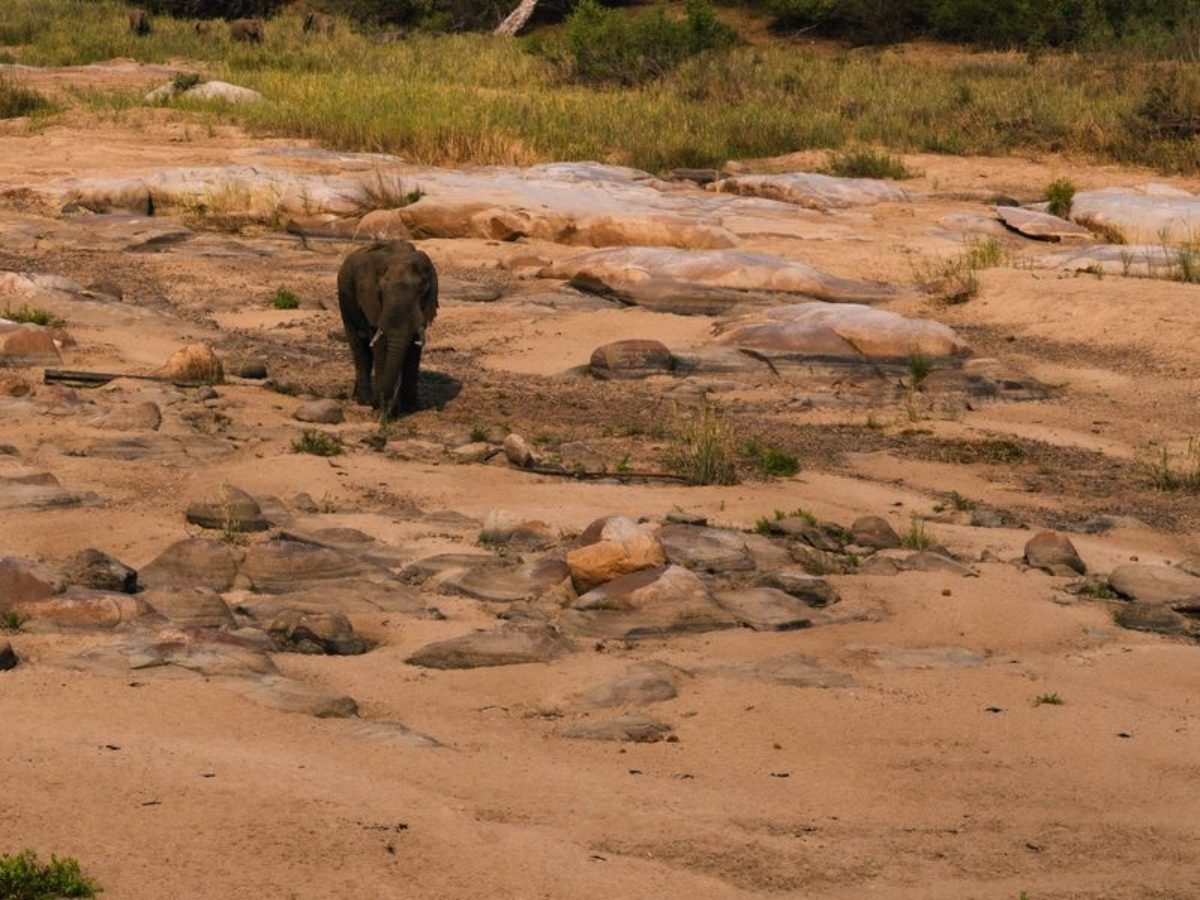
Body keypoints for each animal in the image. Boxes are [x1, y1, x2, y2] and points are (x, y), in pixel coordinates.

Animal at [337, 241, 438, 418]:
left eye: (422, 291)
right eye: (380, 292)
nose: (377, 403)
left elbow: (414, 347)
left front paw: (410, 408)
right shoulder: (371, 303)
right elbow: (380, 346)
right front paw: (382, 408)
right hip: (344, 302)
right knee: (359, 348)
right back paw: (364, 400)